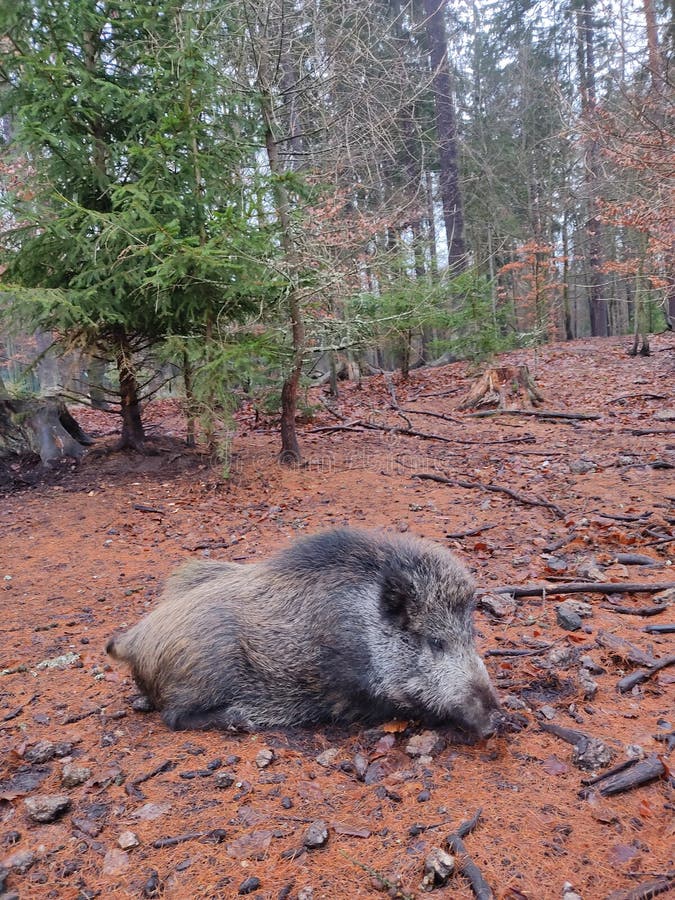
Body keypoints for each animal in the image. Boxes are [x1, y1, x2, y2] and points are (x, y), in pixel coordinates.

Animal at [106, 528, 500, 740]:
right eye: (435, 641)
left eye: (472, 636)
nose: (497, 719)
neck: (362, 629)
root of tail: (134, 639)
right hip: (204, 671)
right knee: (173, 716)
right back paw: (241, 721)